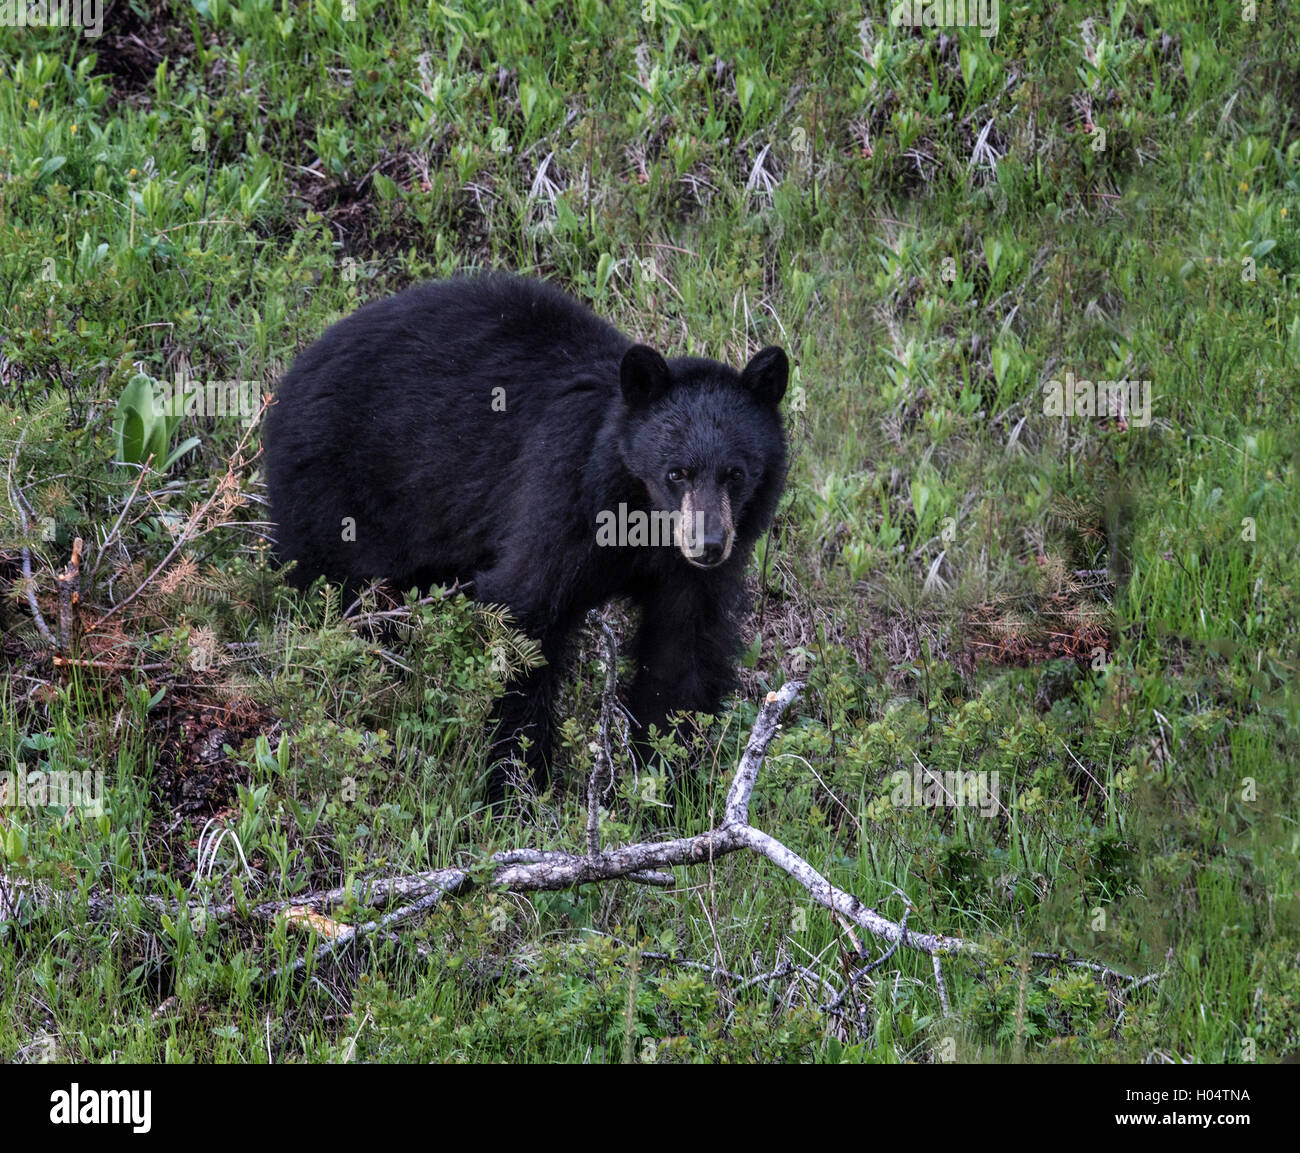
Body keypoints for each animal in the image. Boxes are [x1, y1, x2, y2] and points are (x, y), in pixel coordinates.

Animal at [265, 273, 788, 803]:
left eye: (735, 474)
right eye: (676, 472)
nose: (708, 545)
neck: (643, 519)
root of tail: (292, 375)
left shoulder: (689, 576)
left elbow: (683, 650)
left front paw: (666, 783)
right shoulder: (563, 496)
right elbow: (527, 614)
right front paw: (516, 785)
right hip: (339, 485)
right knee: (338, 587)